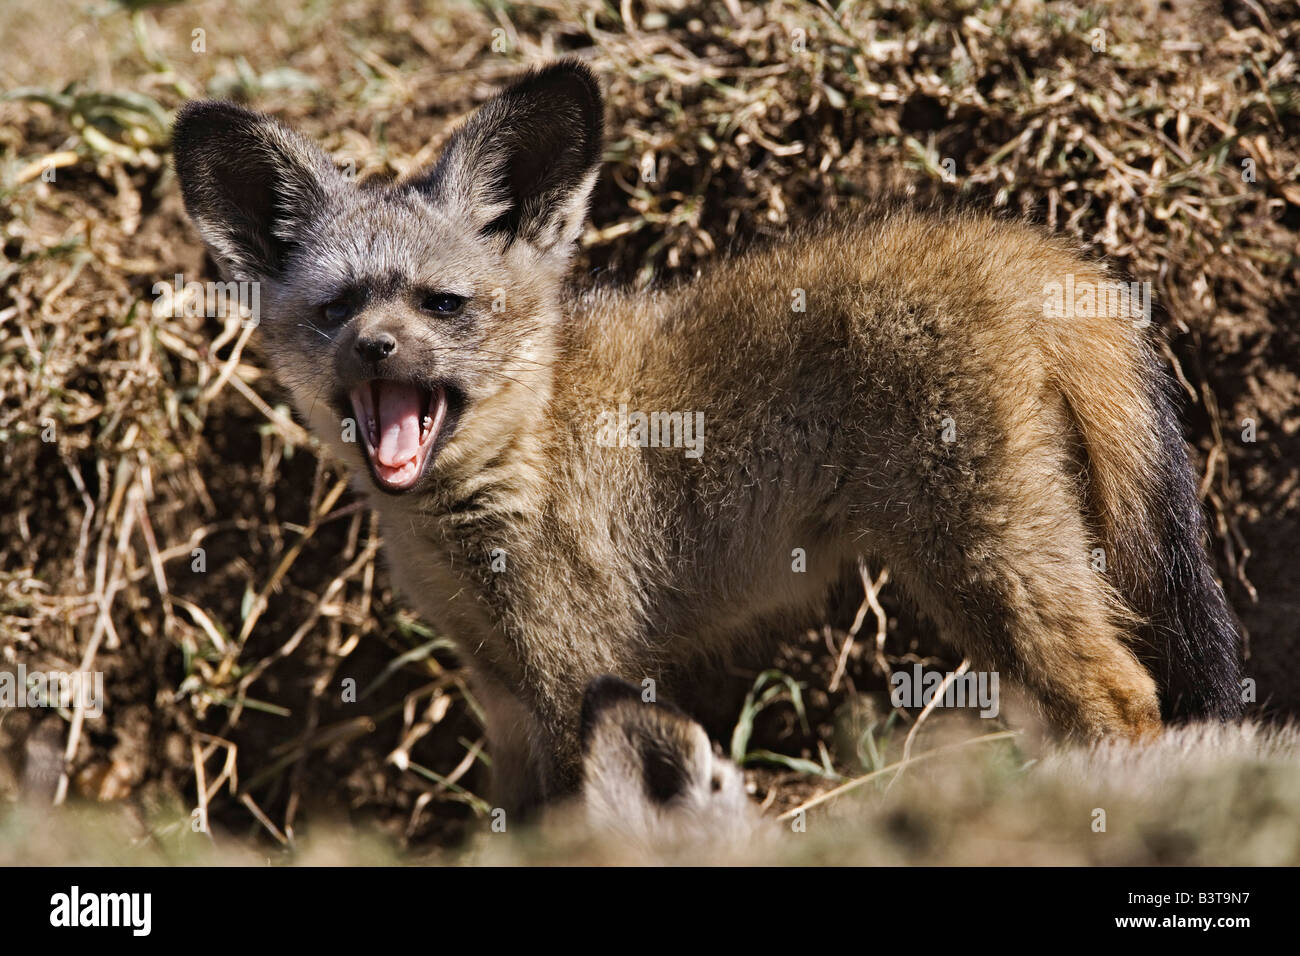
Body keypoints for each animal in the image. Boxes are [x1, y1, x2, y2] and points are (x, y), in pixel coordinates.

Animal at [172, 59, 1242, 819]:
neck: (519, 459)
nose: (376, 347)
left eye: (442, 304)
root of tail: (1013, 243)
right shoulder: (505, 691)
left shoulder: (576, 670)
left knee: (1124, 699)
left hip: (986, 565)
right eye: (338, 309)